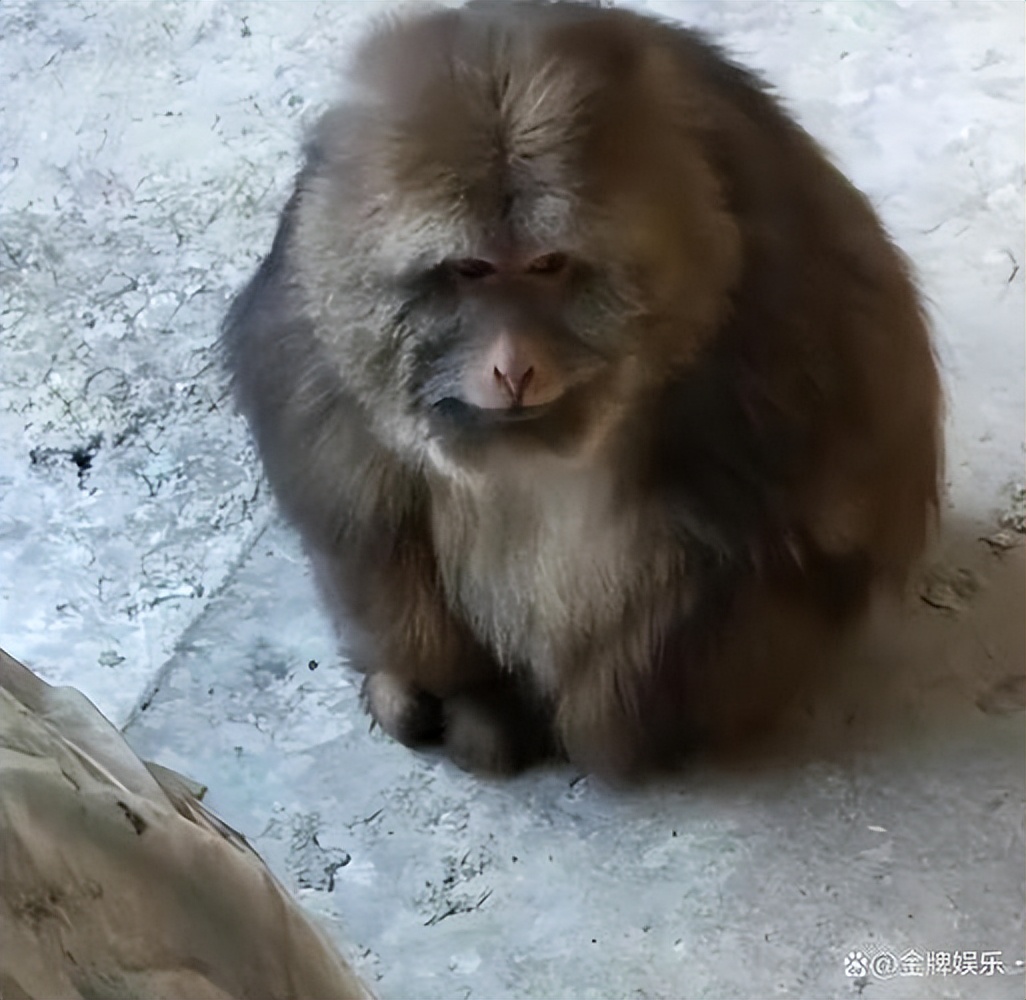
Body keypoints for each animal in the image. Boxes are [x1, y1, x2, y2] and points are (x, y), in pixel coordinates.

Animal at [222, 1, 943, 781]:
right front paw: (454, 691)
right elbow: (354, 495)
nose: (514, 367)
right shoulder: (321, 299)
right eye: (471, 270)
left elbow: (811, 502)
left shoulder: (775, 291)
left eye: (548, 265)